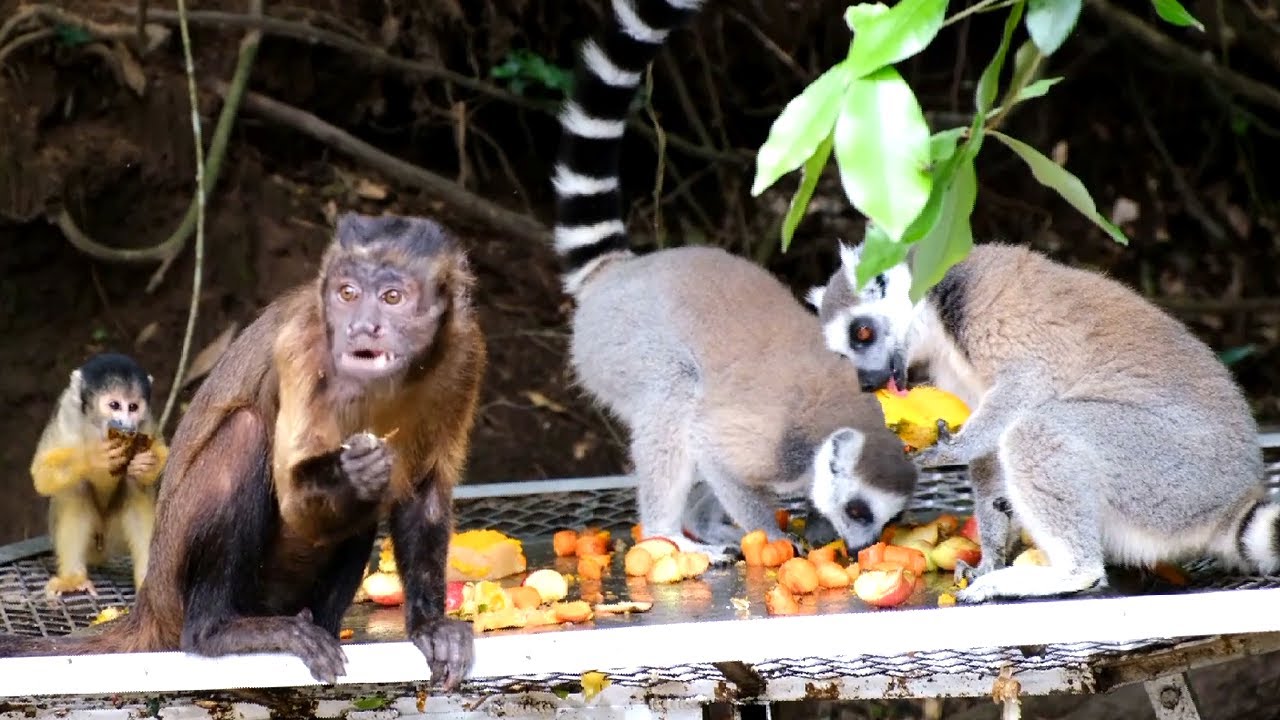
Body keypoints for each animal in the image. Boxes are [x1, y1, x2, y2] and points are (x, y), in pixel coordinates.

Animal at [29, 352, 168, 598]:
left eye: (133, 407)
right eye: (114, 405)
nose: (127, 424)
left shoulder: (145, 421)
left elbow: (159, 454)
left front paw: (146, 463)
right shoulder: (68, 412)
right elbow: (42, 473)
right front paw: (93, 457)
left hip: (115, 538)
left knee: (133, 485)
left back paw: (146, 580)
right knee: (76, 488)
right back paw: (73, 578)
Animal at [550, 0, 920, 561]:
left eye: (888, 520)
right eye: (858, 511)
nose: (860, 549)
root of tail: (620, 272)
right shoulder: (771, 445)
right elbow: (713, 450)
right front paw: (773, 539)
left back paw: (704, 526)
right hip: (618, 349)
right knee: (674, 398)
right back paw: (668, 534)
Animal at [805, 240, 1276, 603]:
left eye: (862, 333)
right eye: (846, 352)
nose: (867, 383)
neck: (936, 316)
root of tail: (1235, 495)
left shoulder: (988, 312)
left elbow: (1029, 384)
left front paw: (948, 451)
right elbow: (989, 457)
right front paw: (989, 556)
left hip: (1172, 472)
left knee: (1039, 431)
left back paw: (1068, 572)